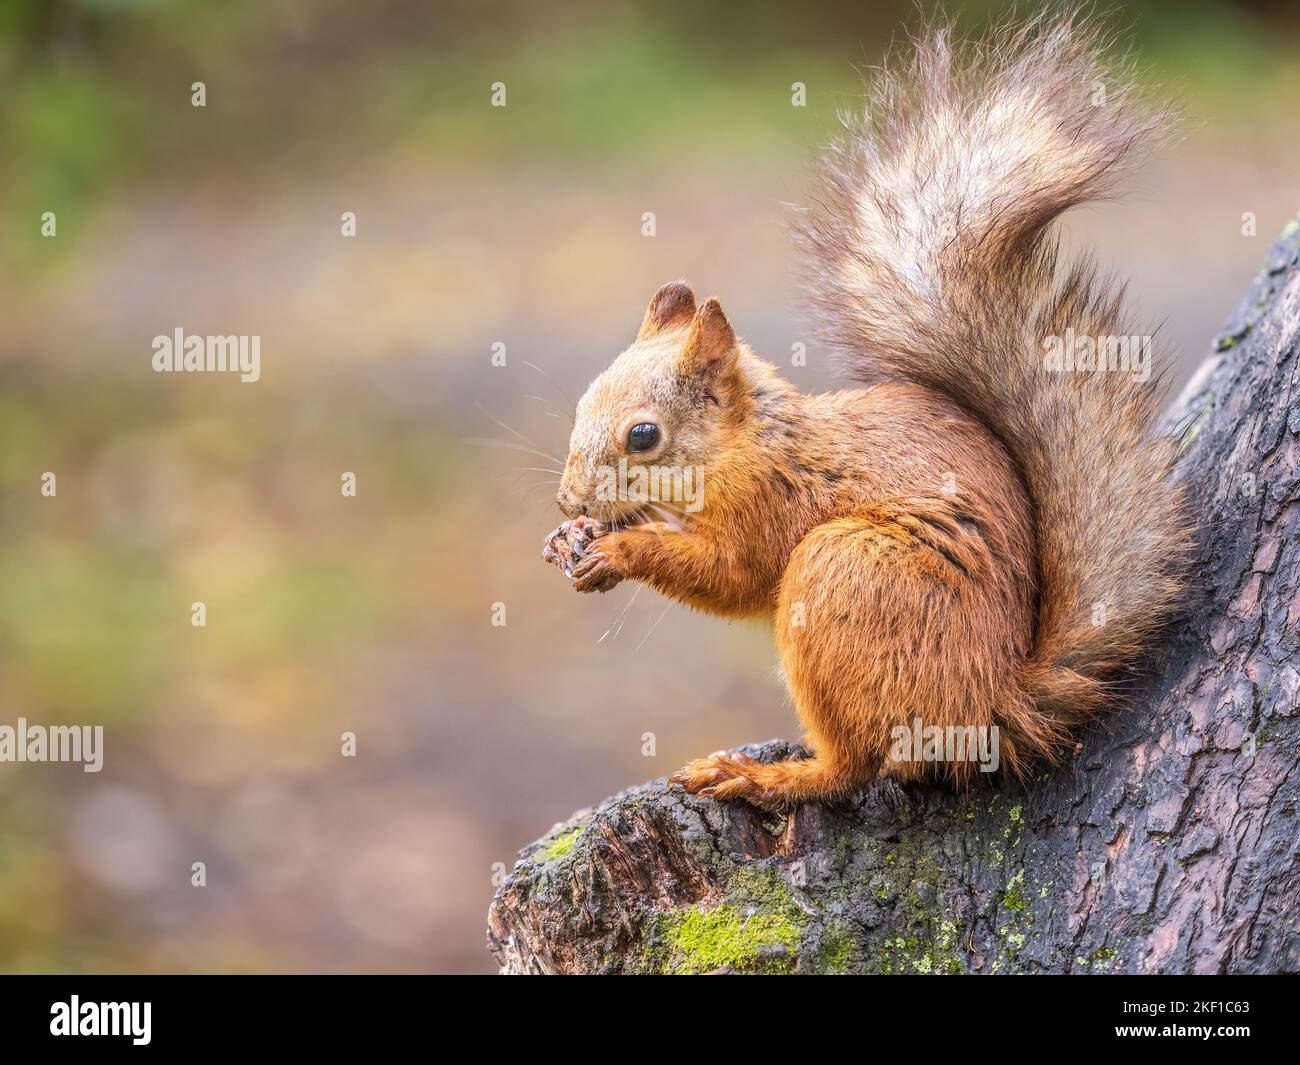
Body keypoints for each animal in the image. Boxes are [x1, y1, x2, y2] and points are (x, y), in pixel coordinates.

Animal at [542, 12, 1191, 806]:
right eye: (583, 400)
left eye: (643, 435)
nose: (569, 498)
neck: (749, 447)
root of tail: (989, 708)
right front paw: (567, 540)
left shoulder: (772, 506)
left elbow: (731, 576)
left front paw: (619, 550)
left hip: (844, 576)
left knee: (854, 764)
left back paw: (766, 775)